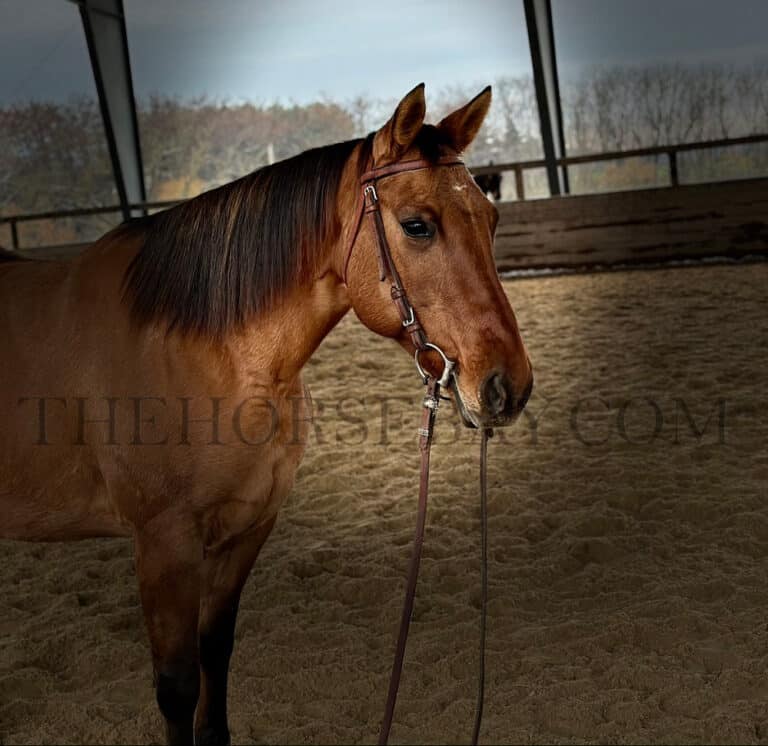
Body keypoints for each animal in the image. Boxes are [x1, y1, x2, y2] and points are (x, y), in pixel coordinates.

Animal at [0, 83, 532, 745]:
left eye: (491, 219)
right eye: (417, 226)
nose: (509, 386)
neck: (206, 350)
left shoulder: (248, 529)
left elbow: (216, 651)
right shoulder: (164, 544)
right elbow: (177, 686)